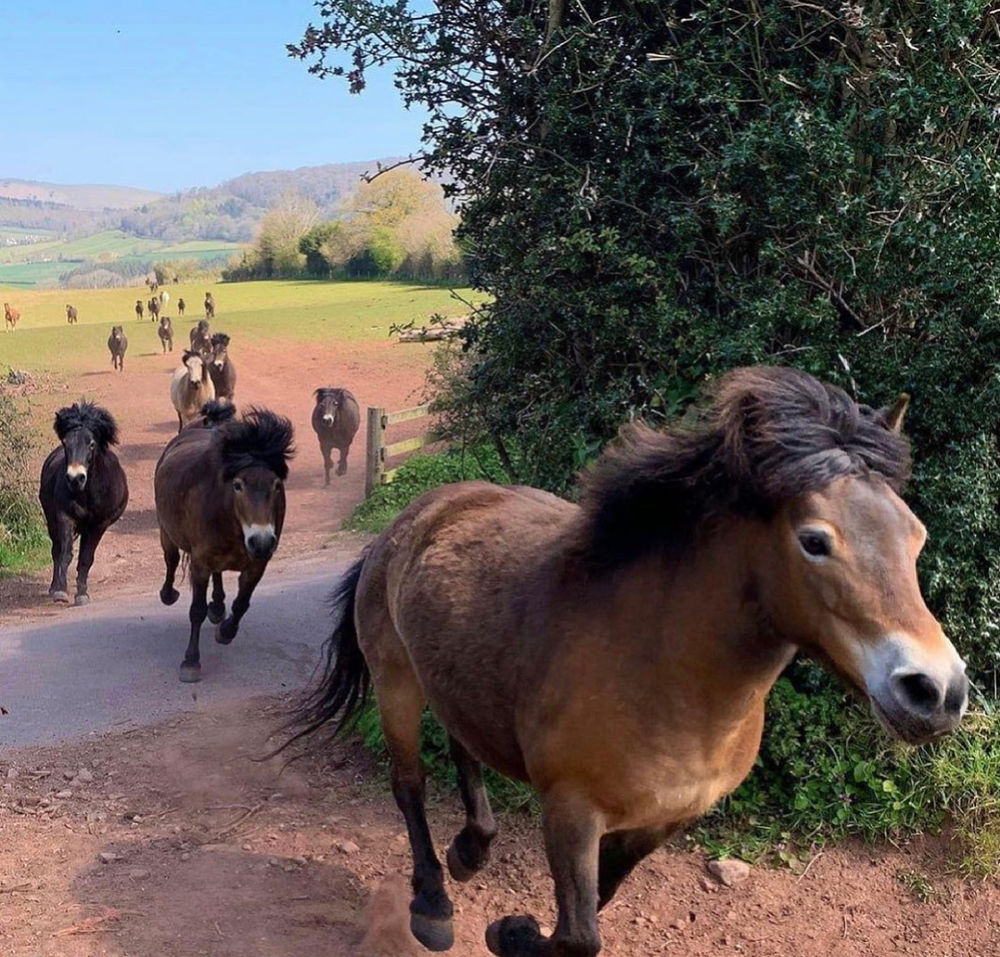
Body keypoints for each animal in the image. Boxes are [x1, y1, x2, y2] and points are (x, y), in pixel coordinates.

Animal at [38, 401, 129, 605]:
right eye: (65, 443)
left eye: (92, 444)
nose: (75, 478)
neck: (88, 494)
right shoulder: (65, 517)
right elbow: (65, 553)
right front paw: (61, 592)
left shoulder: (98, 525)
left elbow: (86, 559)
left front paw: (82, 594)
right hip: (51, 520)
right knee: (56, 550)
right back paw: (54, 587)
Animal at [154, 403, 294, 682]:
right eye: (238, 485)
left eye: (276, 485)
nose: (261, 541)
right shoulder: (199, 563)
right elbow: (196, 610)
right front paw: (191, 662)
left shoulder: (257, 565)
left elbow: (242, 603)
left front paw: (226, 632)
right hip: (167, 532)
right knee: (171, 560)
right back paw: (168, 594)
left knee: (217, 577)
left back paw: (218, 608)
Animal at [285, 366, 968, 957]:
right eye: (815, 541)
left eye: (916, 536)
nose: (935, 691)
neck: (668, 676)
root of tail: (416, 514)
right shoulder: (571, 810)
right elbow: (579, 934)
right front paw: (510, 933)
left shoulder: (667, 818)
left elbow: (603, 896)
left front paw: (513, 923)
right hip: (396, 682)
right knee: (410, 784)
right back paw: (432, 904)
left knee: (462, 746)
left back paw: (471, 852)